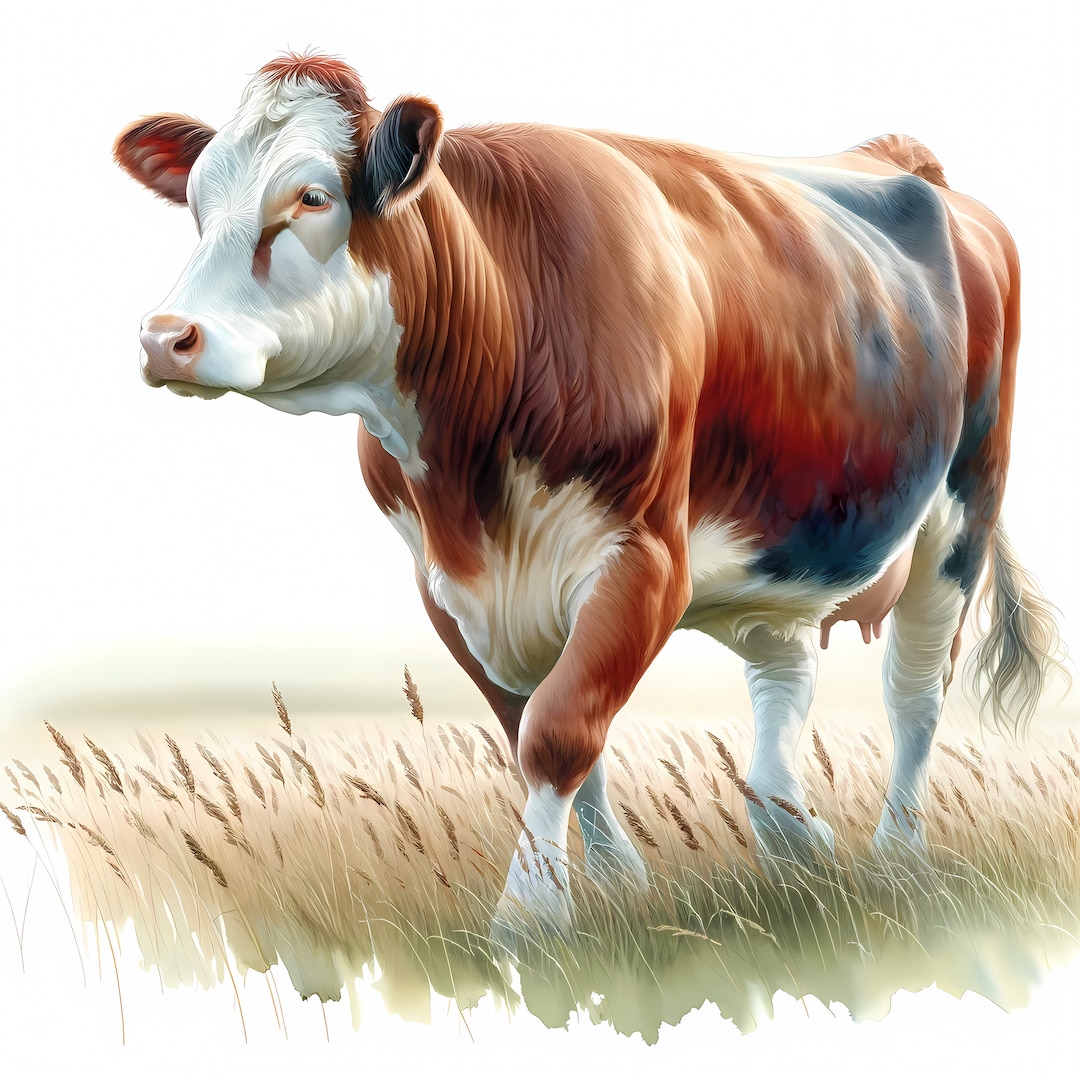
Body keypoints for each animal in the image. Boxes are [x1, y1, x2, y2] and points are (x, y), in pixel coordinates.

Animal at [115, 52, 1063, 933]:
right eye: (196, 203)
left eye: (311, 197)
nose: (166, 338)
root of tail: (901, 160)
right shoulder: (446, 584)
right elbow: (534, 726)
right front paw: (612, 883)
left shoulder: (643, 558)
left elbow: (562, 730)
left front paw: (530, 913)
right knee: (784, 671)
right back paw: (794, 837)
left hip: (963, 509)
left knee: (915, 692)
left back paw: (893, 852)